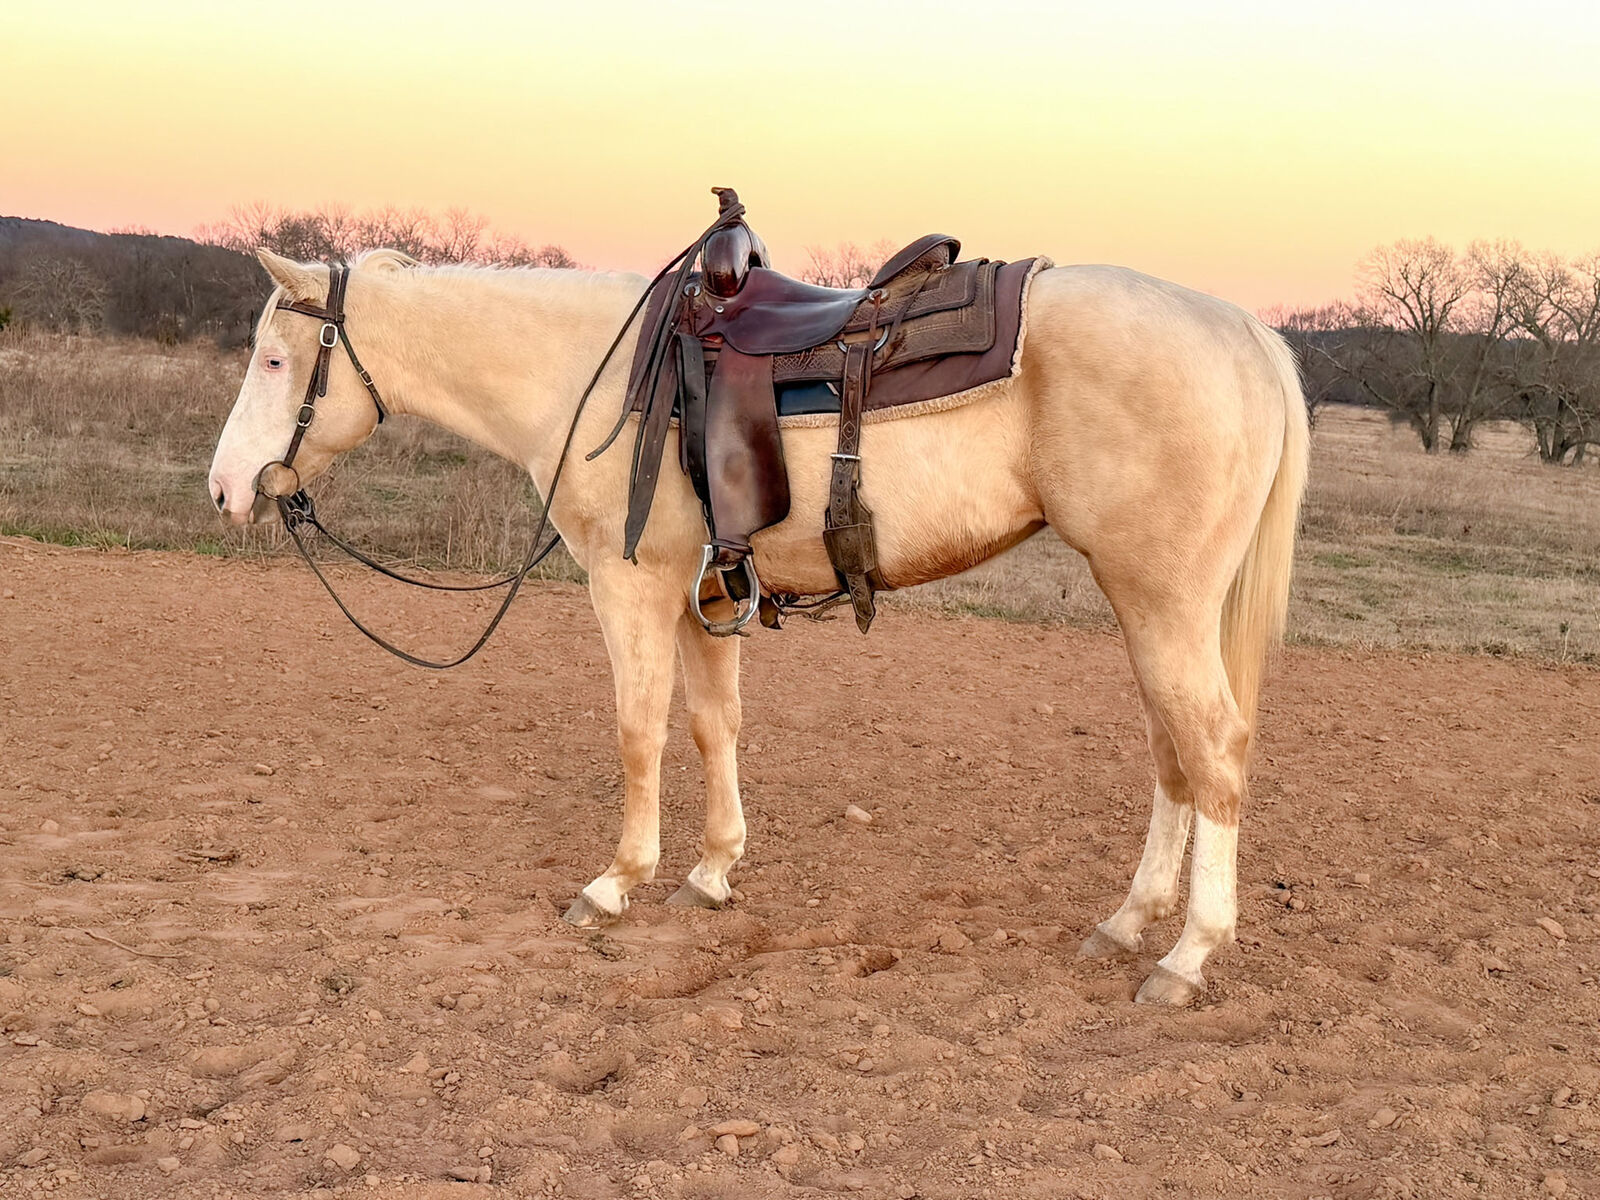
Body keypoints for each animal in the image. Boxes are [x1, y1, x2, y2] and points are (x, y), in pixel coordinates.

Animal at [209, 245, 1308, 1005]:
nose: (225, 490)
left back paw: (1186, 955)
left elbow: (638, 733)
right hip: (1154, 610)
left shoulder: (630, 587)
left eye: (274, 359)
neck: (591, 379)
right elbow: (711, 728)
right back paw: (1127, 924)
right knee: (1173, 757)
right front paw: (710, 872)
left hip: (1161, 604)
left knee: (1212, 754)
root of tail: (1246, 333)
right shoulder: (703, 598)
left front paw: (616, 883)